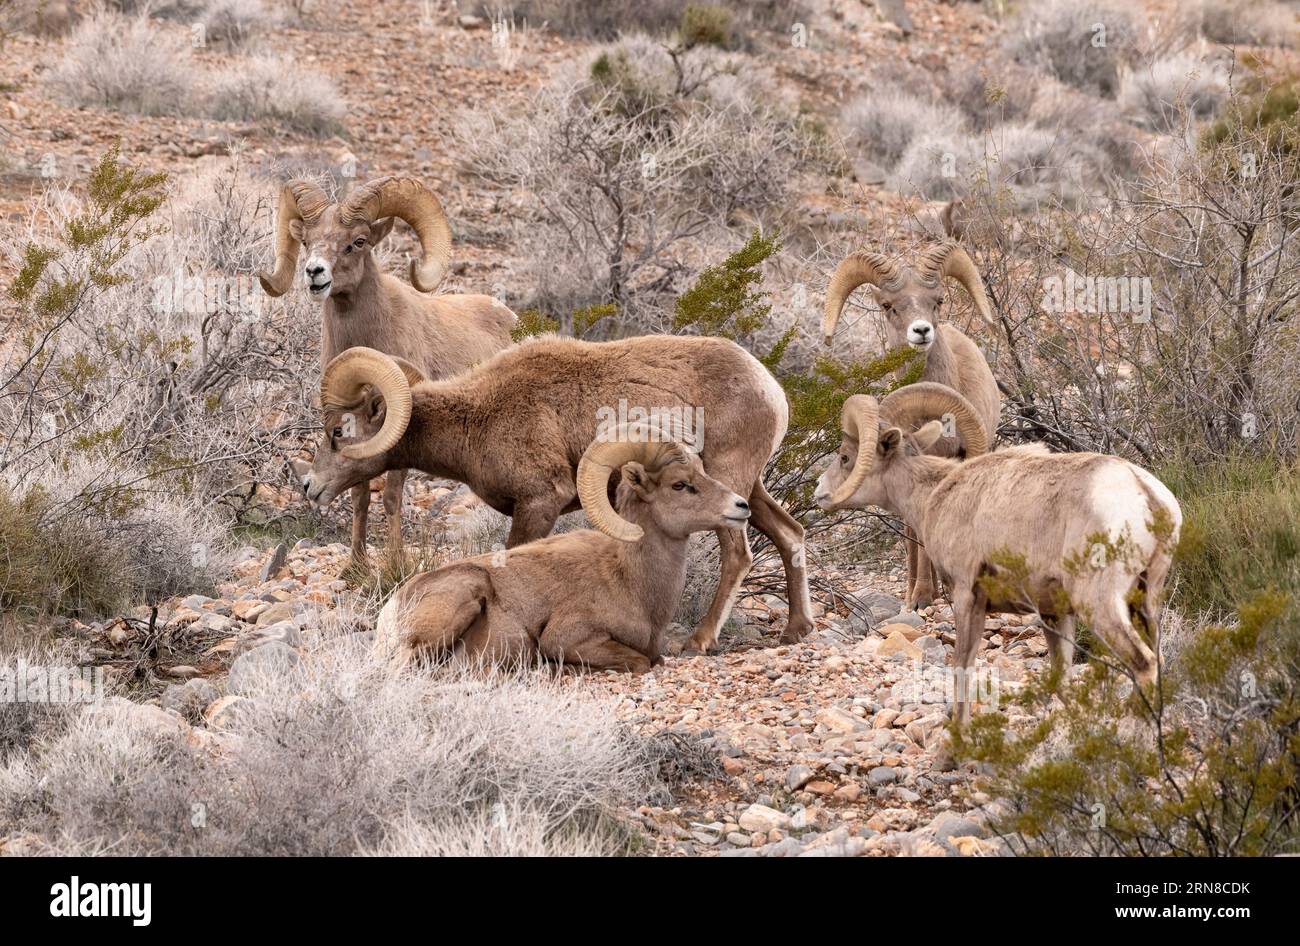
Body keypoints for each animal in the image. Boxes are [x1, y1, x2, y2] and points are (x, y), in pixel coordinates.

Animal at [258, 176, 517, 570]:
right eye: (306, 242)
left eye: (358, 242)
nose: (315, 273)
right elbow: (359, 496)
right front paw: (355, 565)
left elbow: (392, 497)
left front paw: (395, 562)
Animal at [373, 430, 752, 670]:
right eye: (680, 485)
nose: (741, 506)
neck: (632, 582)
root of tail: (390, 611)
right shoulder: (568, 639)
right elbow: (641, 661)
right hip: (467, 593)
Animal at [814, 381, 1182, 732]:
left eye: (845, 456)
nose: (819, 491)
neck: (935, 493)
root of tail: (1147, 495)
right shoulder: (1054, 612)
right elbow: (1061, 677)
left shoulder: (966, 596)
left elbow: (963, 664)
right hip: (1146, 601)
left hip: (1099, 602)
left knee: (1144, 664)